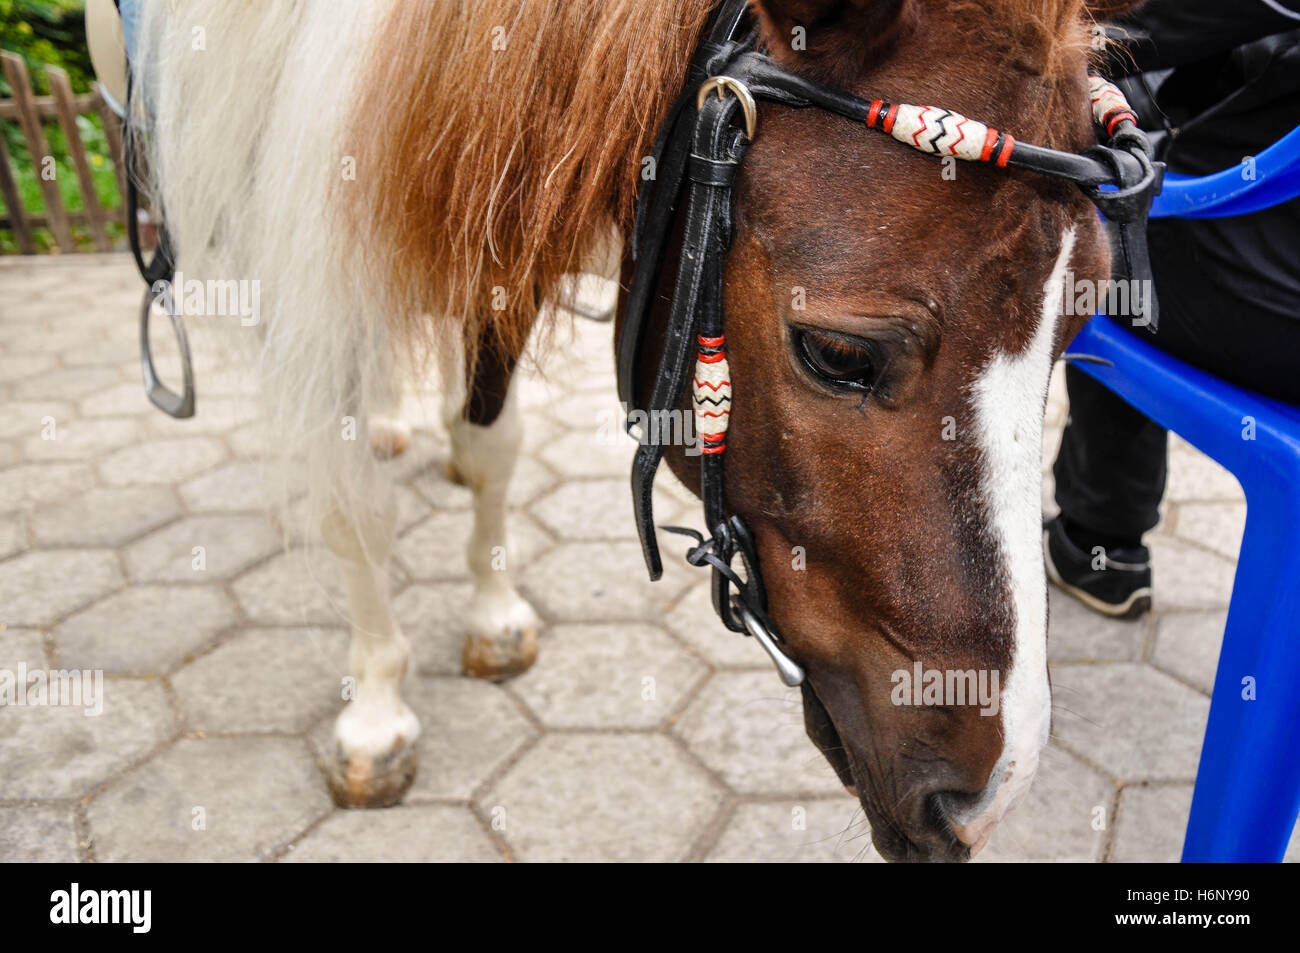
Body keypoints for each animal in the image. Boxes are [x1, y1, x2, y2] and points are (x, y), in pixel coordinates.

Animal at [121, 0, 1136, 862]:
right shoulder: (296, 267)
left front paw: (491, 611)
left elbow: (488, 444)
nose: (987, 796)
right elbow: (352, 512)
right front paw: (375, 709)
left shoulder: (499, 227)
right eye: (840, 352)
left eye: (1081, 325)